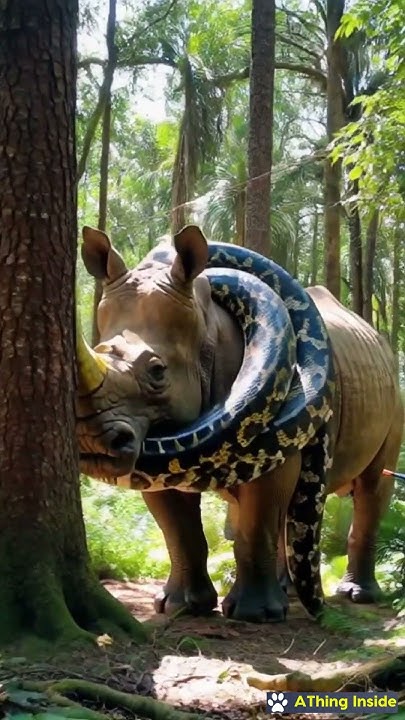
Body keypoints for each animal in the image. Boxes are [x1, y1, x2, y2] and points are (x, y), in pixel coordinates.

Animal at [76, 223, 404, 624]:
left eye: (157, 372)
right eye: (96, 351)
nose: (90, 442)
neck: (204, 333)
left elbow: (255, 523)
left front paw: (254, 615)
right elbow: (178, 530)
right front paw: (181, 607)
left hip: (393, 391)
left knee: (372, 485)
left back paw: (356, 595)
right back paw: (289, 591)